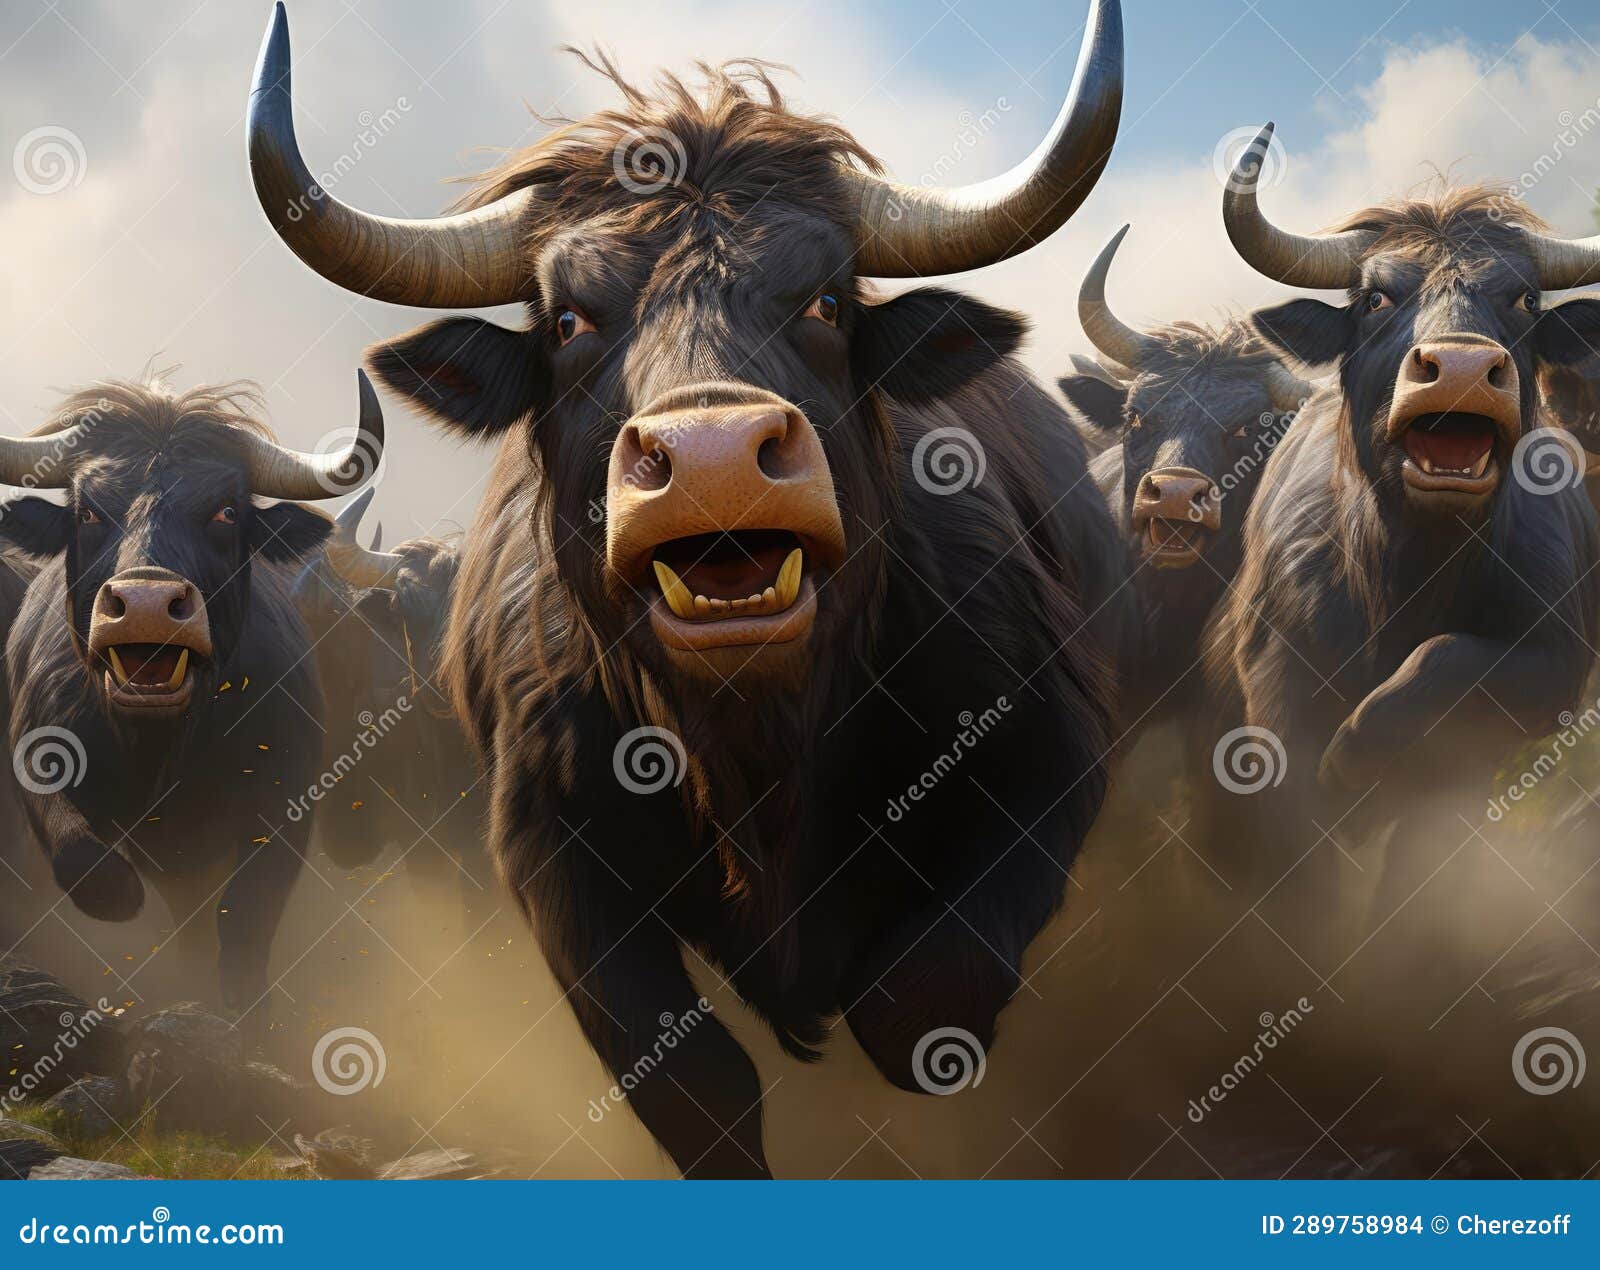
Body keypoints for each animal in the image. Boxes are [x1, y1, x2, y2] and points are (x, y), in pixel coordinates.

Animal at [0, 372, 383, 1033]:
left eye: (226, 510)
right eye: (87, 511)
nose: (146, 605)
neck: (161, 746)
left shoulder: (288, 795)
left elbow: (248, 913)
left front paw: (249, 1015)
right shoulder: (36, 754)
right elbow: (83, 858)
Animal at [246, 0, 1129, 1176]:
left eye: (827, 301)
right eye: (567, 319)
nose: (711, 458)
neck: (754, 746)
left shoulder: (1051, 749)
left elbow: (918, 1002)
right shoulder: (550, 860)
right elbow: (695, 1083)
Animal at [1199, 122, 1600, 902]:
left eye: (1525, 299)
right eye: (1377, 298)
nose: (1463, 369)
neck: (1408, 570)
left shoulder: (1548, 669)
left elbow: (1437, 662)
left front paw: (1352, 764)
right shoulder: (1275, 696)